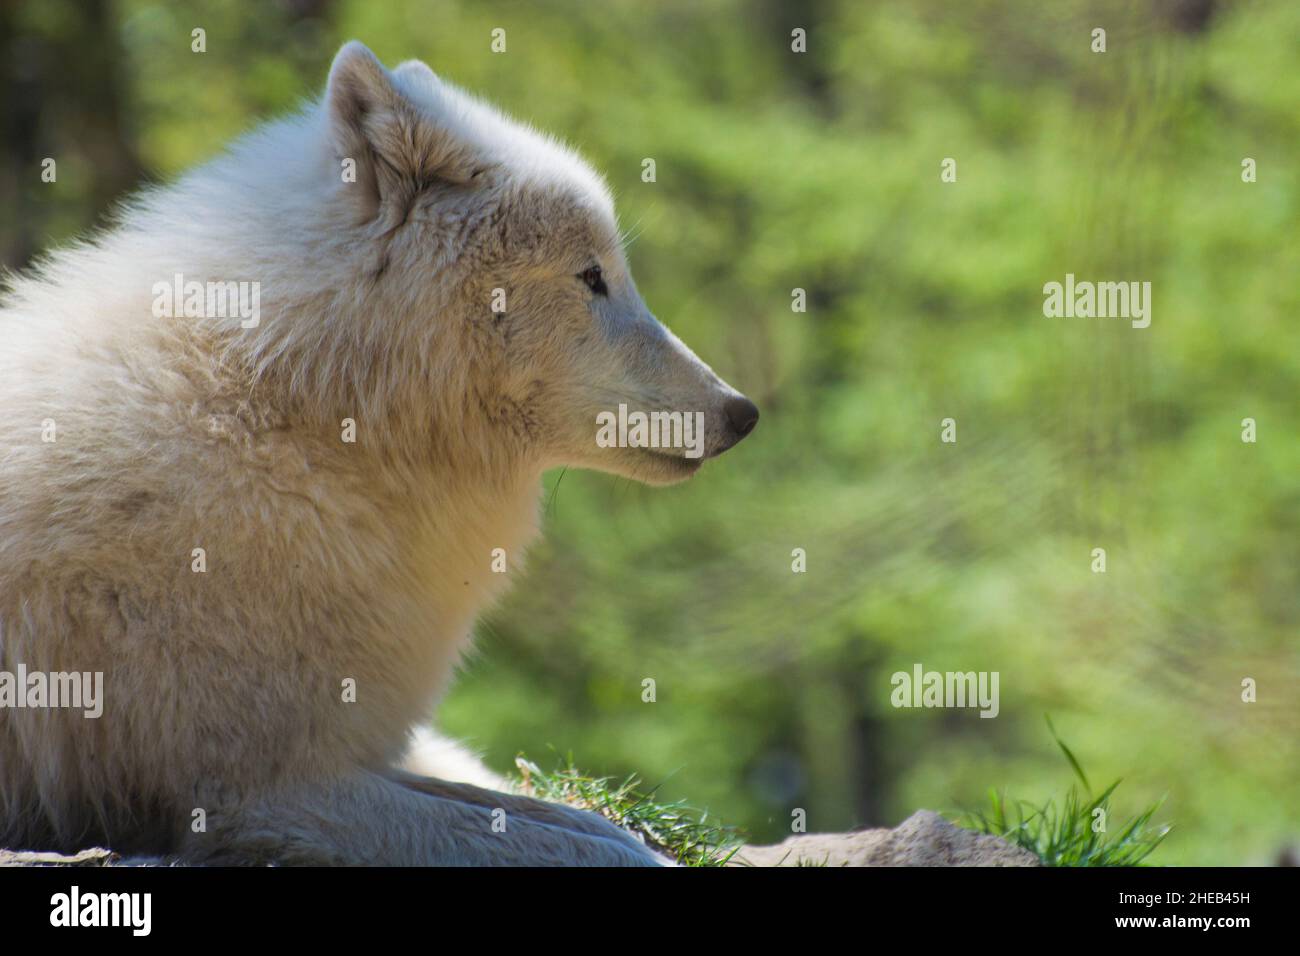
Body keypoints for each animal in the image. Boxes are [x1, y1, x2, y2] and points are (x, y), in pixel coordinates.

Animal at [0, 41, 758, 865]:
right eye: (591, 277)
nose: (743, 412)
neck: (293, 414)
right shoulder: (261, 793)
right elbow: (603, 846)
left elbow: (580, 819)